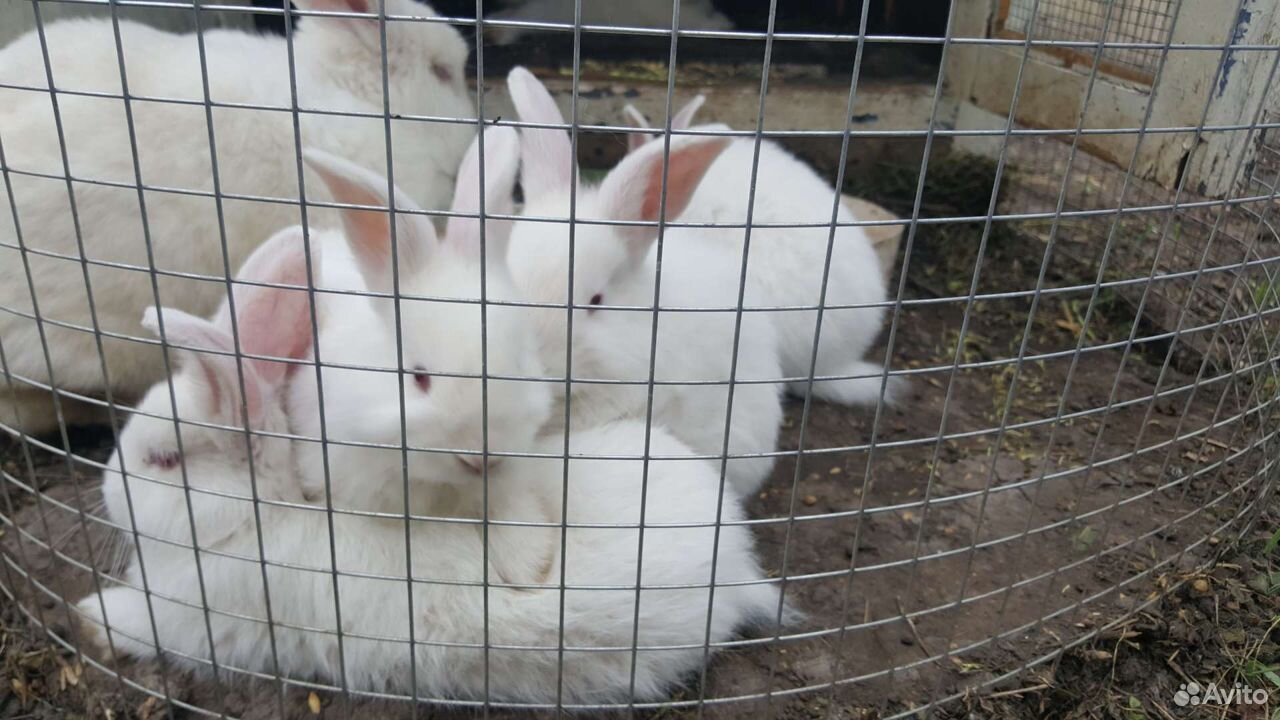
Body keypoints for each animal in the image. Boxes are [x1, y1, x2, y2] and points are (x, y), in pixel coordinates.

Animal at [79, 132, 783, 705]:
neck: (259, 518)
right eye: (414, 376)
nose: (109, 492)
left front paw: (88, 611)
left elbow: (136, 620)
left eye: (163, 460)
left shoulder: (199, 620)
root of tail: (738, 568)